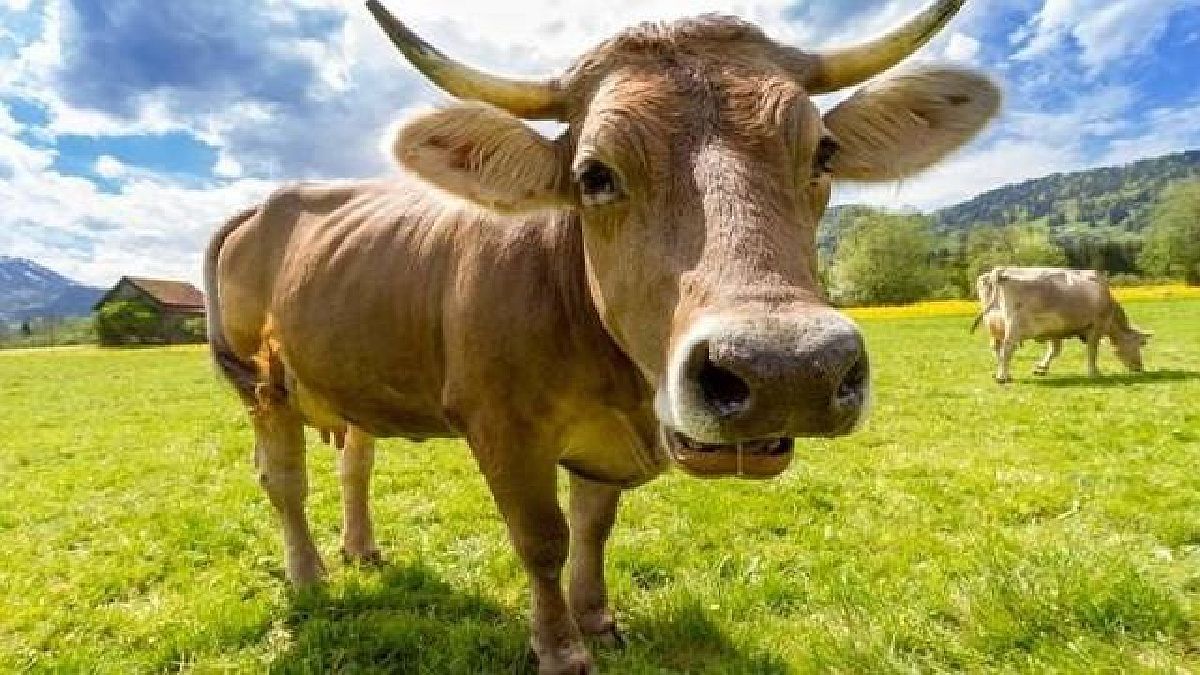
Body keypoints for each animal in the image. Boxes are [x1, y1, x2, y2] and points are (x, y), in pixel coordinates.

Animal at [205, 1, 998, 672]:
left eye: (824, 153)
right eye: (593, 174)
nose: (785, 371)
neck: (615, 380)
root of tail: (267, 202)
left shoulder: (602, 443)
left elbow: (592, 527)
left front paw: (596, 619)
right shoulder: (502, 429)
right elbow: (543, 539)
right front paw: (559, 647)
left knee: (355, 465)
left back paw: (362, 549)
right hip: (262, 386)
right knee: (284, 480)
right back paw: (309, 575)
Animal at [972, 267, 1152, 383]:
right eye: (1140, 343)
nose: (1140, 368)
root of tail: (1001, 270)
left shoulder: (1055, 331)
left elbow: (1054, 351)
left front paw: (1041, 368)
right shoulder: (1095, 327)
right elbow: (1092, 351)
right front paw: (1094, 372)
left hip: (995, 326)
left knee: (997, 348)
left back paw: (1004, 374)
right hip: (1014, 328)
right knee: (1007, 349)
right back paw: (1002, 377)